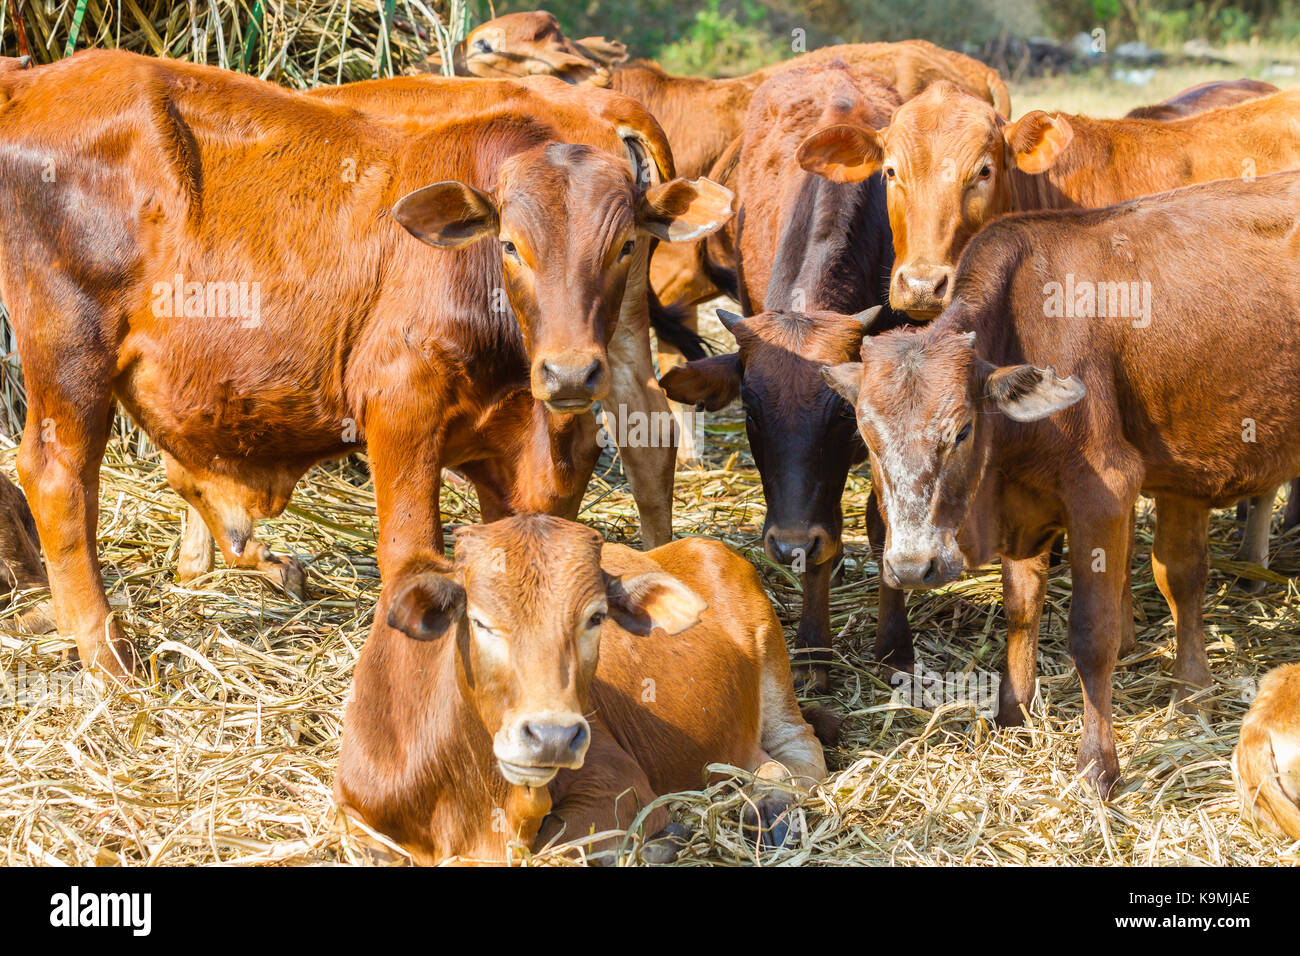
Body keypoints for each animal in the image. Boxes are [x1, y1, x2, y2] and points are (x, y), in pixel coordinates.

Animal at [0, 51, 730, 678]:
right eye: (511, 246)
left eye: (623, 244)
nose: (571, 373)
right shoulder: (401, 407)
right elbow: (408, 554)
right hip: (70, 347)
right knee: (57, 475)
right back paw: (108, 653)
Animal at [335, 513, 830, 865]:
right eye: (479, 620)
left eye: (596, 618)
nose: (552, 737)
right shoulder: (354, 818)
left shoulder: (617, 784)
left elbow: (554, 850)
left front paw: (660, 842)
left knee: (799, 749)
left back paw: (771, 809)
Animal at [660, 61, 913, 690]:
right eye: (750, 410)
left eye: (845, 414)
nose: (791, 540)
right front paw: (814, 651)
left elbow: (881, 523)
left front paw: (895, 646)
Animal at [822, 170, 1300, 795]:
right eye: (866, 434)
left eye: (962, 429)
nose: (909, 567)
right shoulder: (1025, 509)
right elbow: (1021, 609)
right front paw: (1012, 713)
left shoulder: (1103, 494)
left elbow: (1092, 637)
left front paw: (1097, 765)